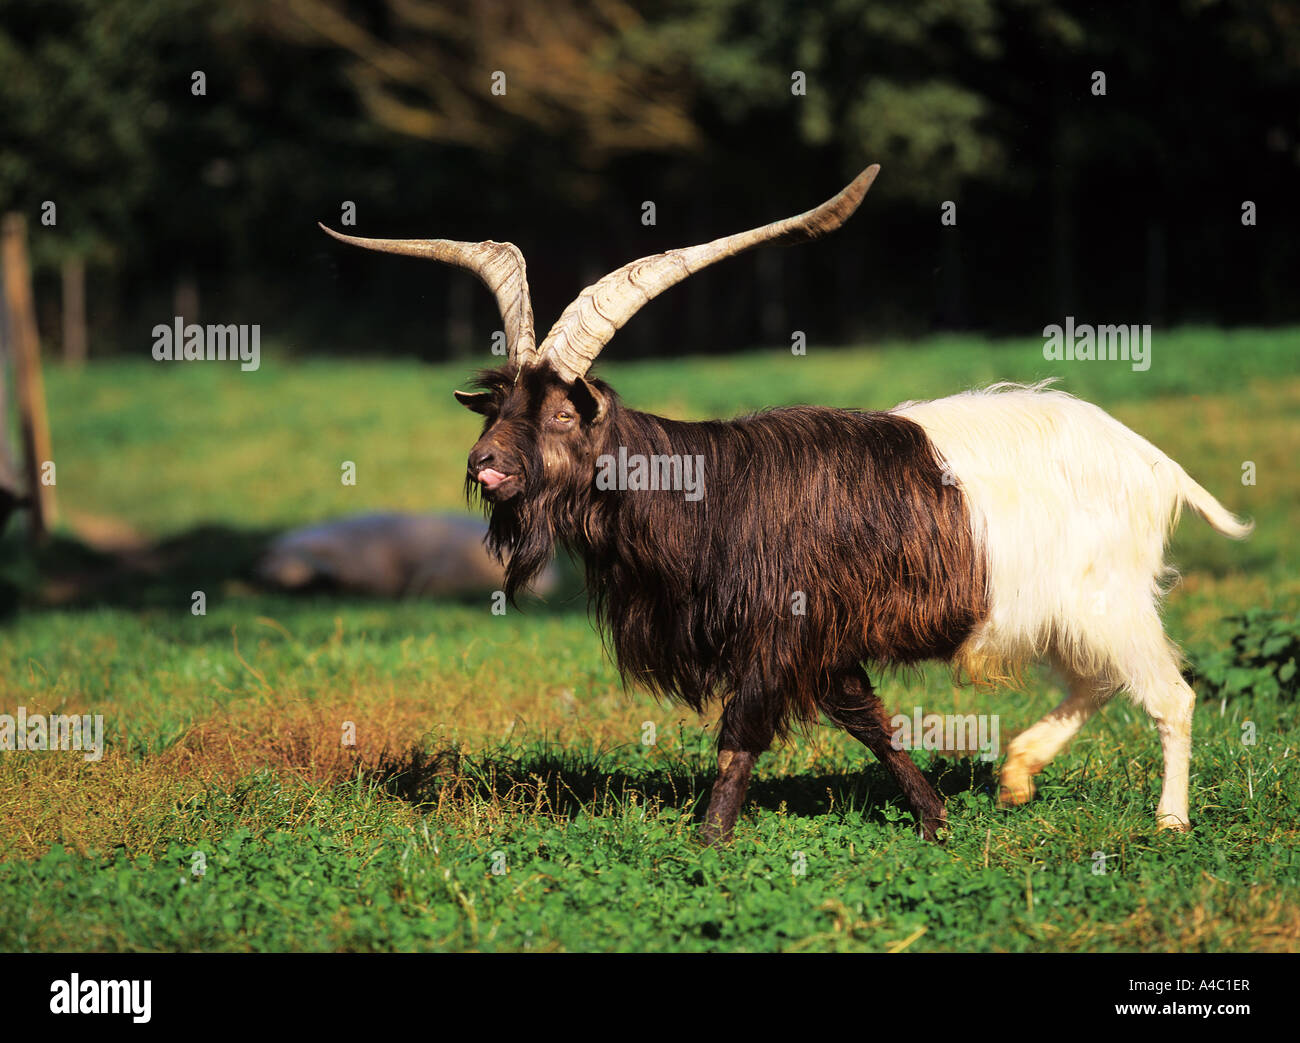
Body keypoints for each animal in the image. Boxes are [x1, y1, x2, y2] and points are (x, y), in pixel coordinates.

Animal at [320, 165, 1252, 843]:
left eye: (558, 413)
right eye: (499, 405)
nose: (486, 468)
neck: (698, 491)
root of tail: (1153, 460)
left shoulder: (780, 626)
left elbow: (744, 731)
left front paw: (707, 838)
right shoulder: (822, 637)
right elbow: (867, 718)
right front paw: (934, 815)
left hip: (1107, 594)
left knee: (1168, 694)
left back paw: (1169, 819)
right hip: (1057, 607)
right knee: (1099, 679)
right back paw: (1019, 771)